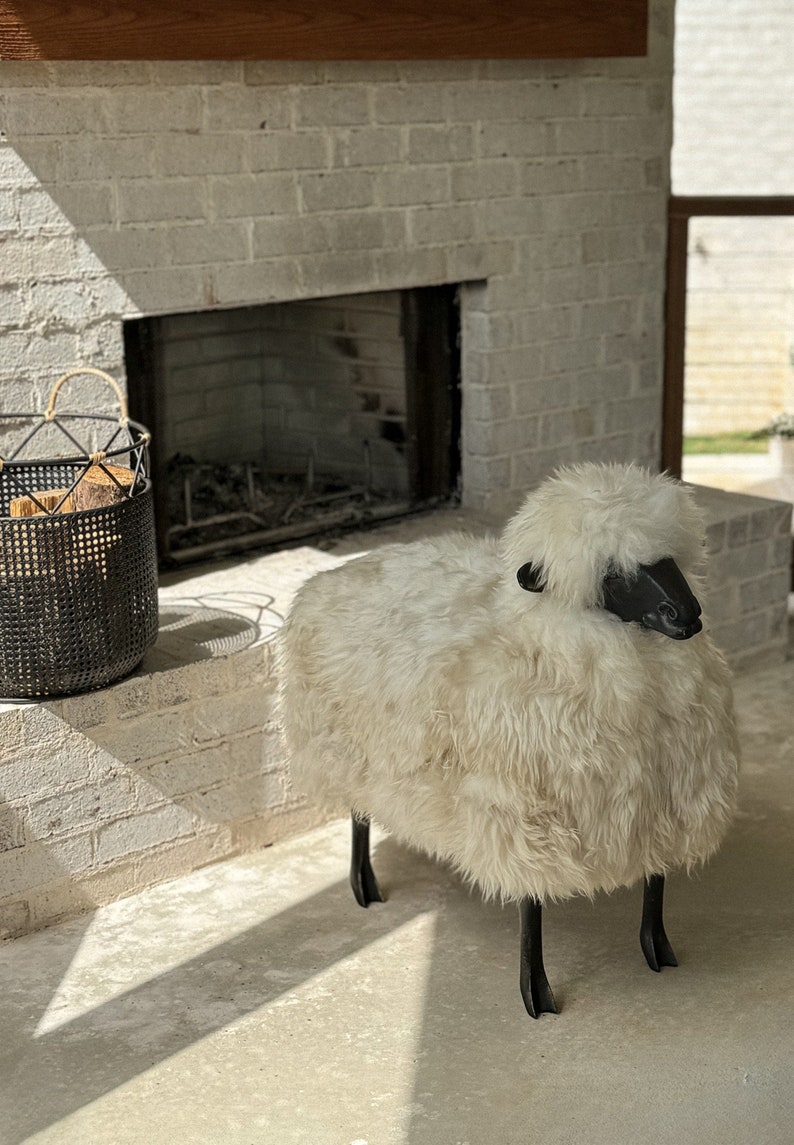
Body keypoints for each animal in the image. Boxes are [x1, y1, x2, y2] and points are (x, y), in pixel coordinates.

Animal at [279, 463, 739, 1017]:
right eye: (611, 574)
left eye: (670, 558)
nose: (687, 614)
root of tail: (341, 570)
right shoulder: (526, 817)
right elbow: (531, 908)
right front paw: (535, 991)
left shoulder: (667, 801)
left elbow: (657, 882)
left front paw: (659, 949)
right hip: (342, 749)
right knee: (358, 817)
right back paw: (363, 885)